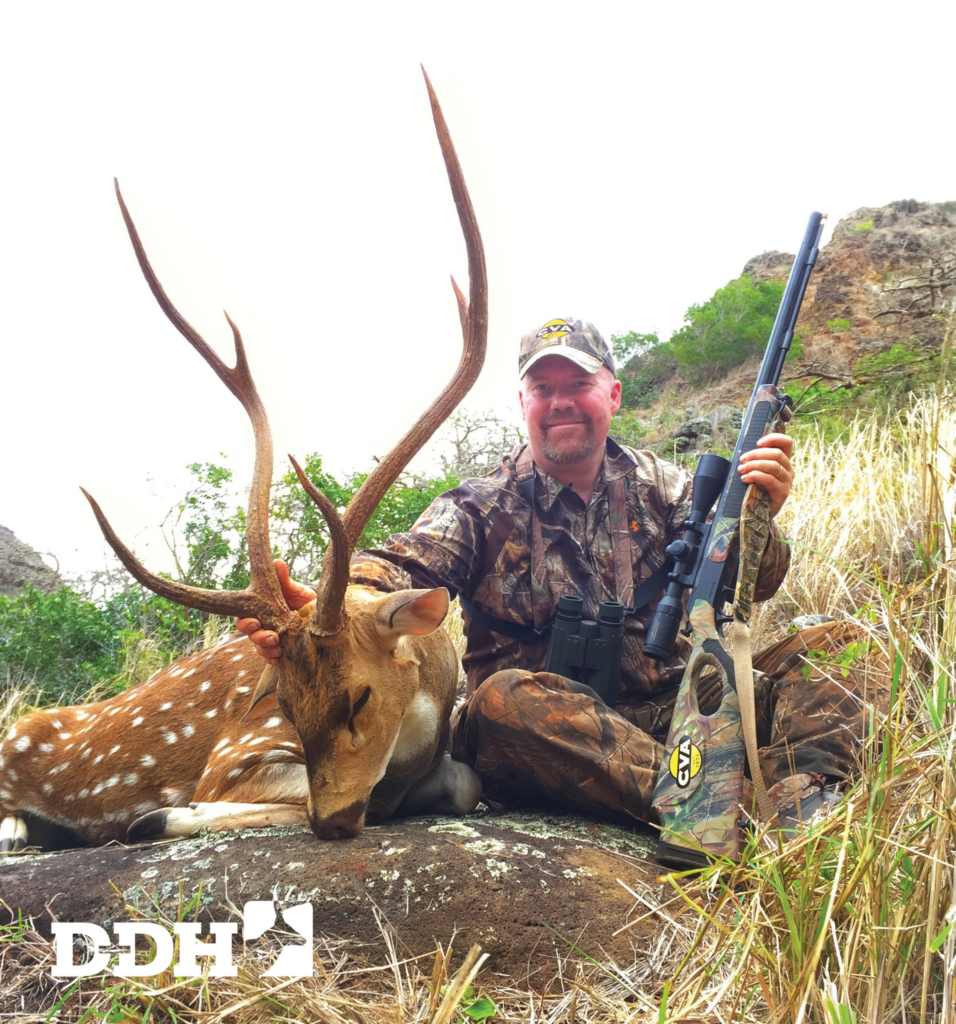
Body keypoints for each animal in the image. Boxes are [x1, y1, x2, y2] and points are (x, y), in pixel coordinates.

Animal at [0, 70, 485, 853]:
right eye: (282, 700)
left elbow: (461, 782)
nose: (334, 822)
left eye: (358, 698)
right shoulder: (236, 751)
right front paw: (156, 814)